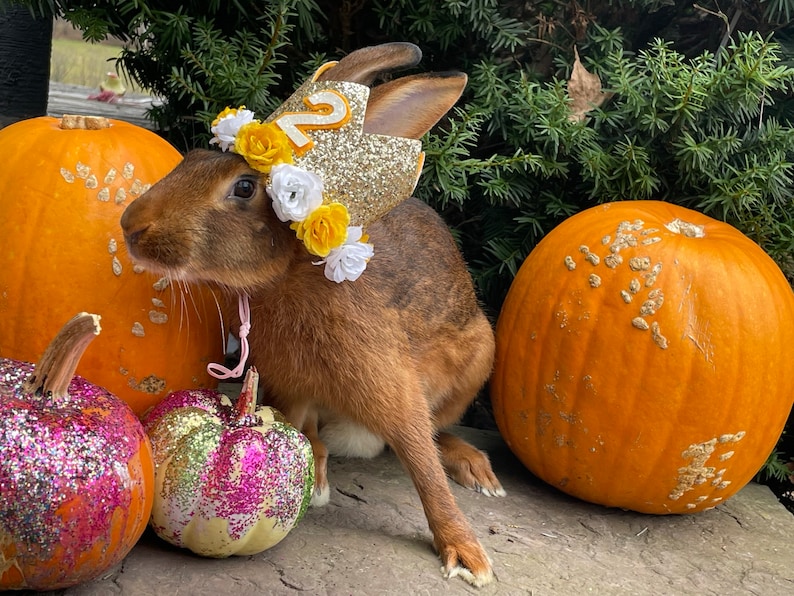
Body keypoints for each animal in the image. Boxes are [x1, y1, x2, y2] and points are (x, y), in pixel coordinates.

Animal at [120, 42, 504, 586]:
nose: (131, 225)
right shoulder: (291, 381)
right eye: (191, 158)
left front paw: (468, 555)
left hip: (476, 360)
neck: (288, 276)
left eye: (243, 188)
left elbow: (420, 459)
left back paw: (478, 471)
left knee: (438, 430)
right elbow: (309, 429)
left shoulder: (387, 378)